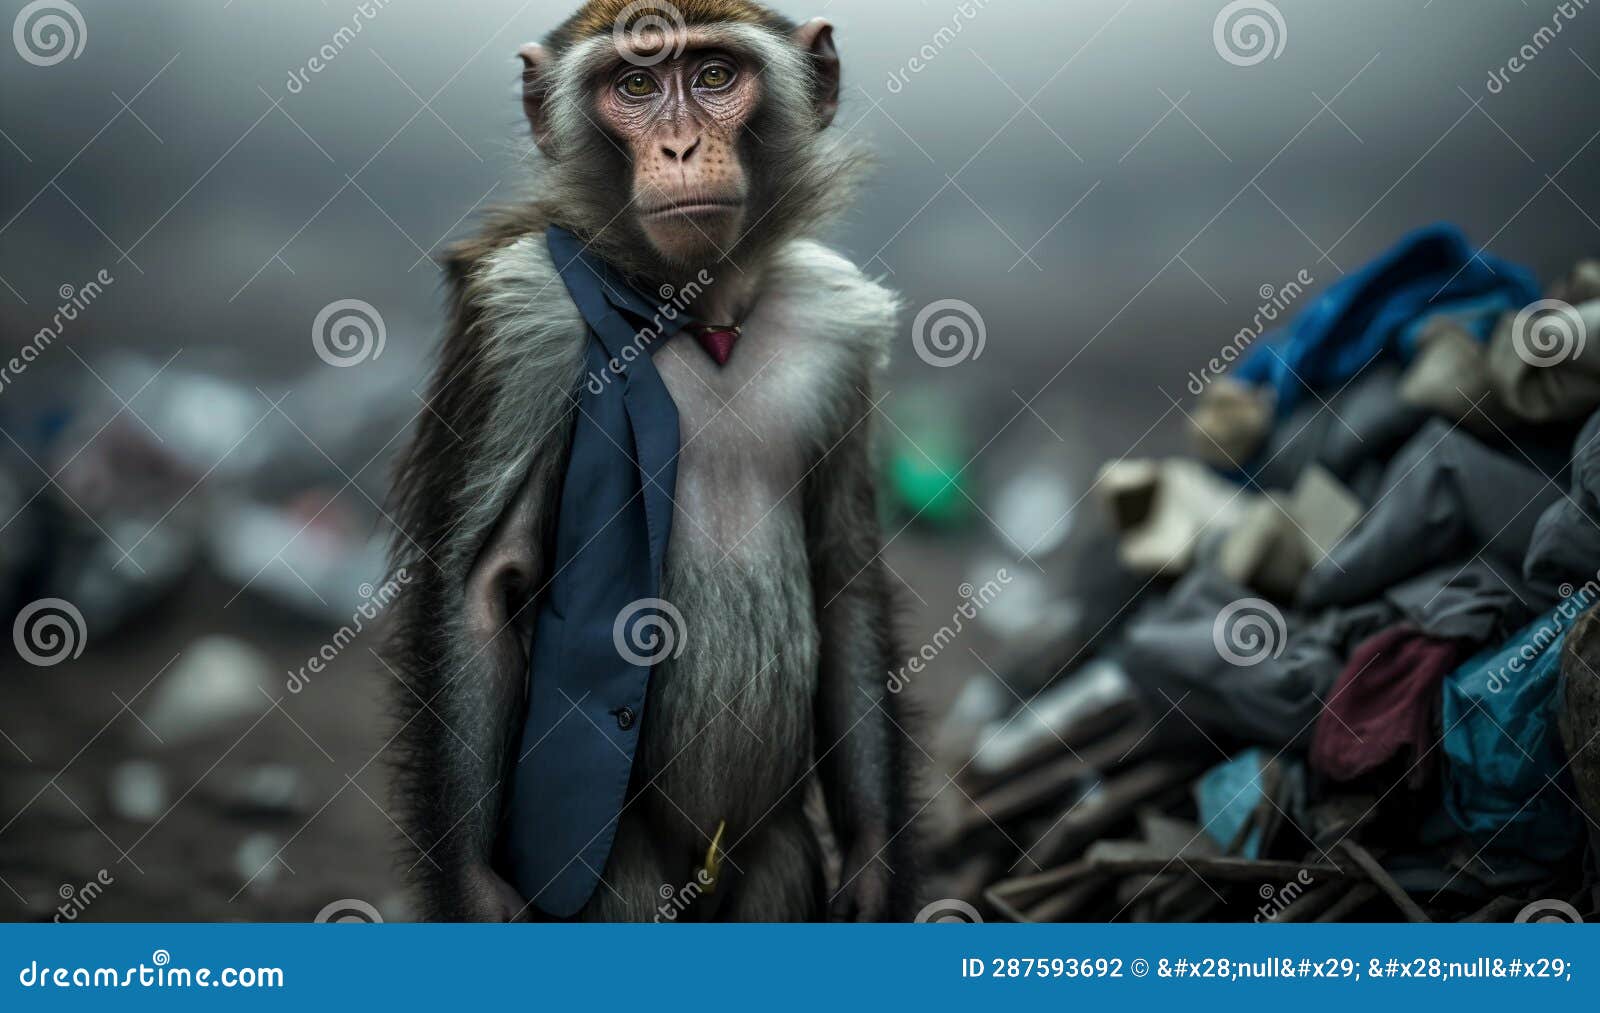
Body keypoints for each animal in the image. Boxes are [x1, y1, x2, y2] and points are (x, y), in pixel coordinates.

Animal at [383, 0, 921, 922]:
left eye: (713, 75)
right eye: (634, 86)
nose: (677, 146)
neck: (705, 317)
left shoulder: (836, 326)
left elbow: (842, 571)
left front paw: (874, 862)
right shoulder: (523, 314)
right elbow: (480, 589)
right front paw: (479, 893)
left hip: (770, 859)